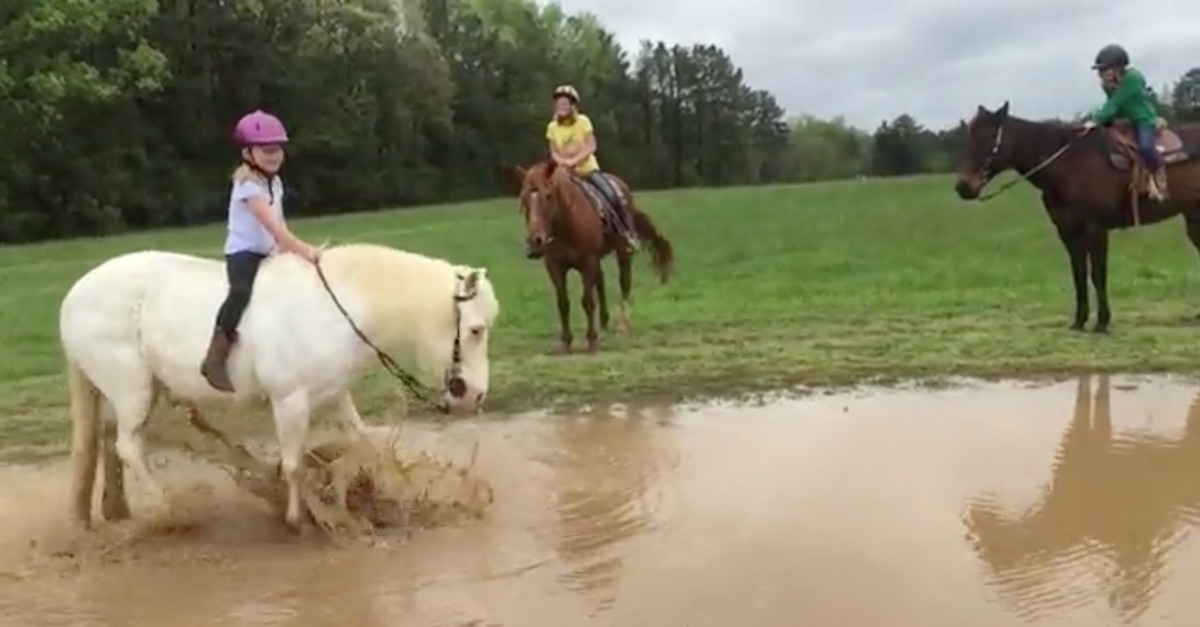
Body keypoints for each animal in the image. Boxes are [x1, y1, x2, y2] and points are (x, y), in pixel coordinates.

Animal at [59, 243, 500, 531]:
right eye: (476, 330)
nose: (475, 395)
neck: (334, 309)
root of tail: (72, 297)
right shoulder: (290, 401)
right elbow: (293, 463)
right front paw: (300, 519)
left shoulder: (335, 394)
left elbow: (361, 440)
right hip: (132, 389)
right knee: (128, 446)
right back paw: (167, 512)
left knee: (108, 439)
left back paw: (117, 510)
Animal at [512, 160, 674, 353]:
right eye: (523, 198)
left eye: (548, 195)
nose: (535, 241)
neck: (567, 224)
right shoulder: (555, 267)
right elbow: (563, 303)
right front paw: (566, 342)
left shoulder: (587, 262)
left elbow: (588, 301)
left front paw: (591, 340)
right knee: (601, 282)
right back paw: (604, 321)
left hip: (622, 252)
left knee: (624, 283)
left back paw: (622, 324)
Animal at [954, 101, 1200, 332]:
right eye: (968, 138)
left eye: (988, 138)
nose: (964, 187)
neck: (1069, 164)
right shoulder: (1067, 230)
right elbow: (1079, 274)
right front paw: (1079, 321)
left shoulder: (1096, 229)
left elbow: (1097, 275)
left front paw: (1102, 322)